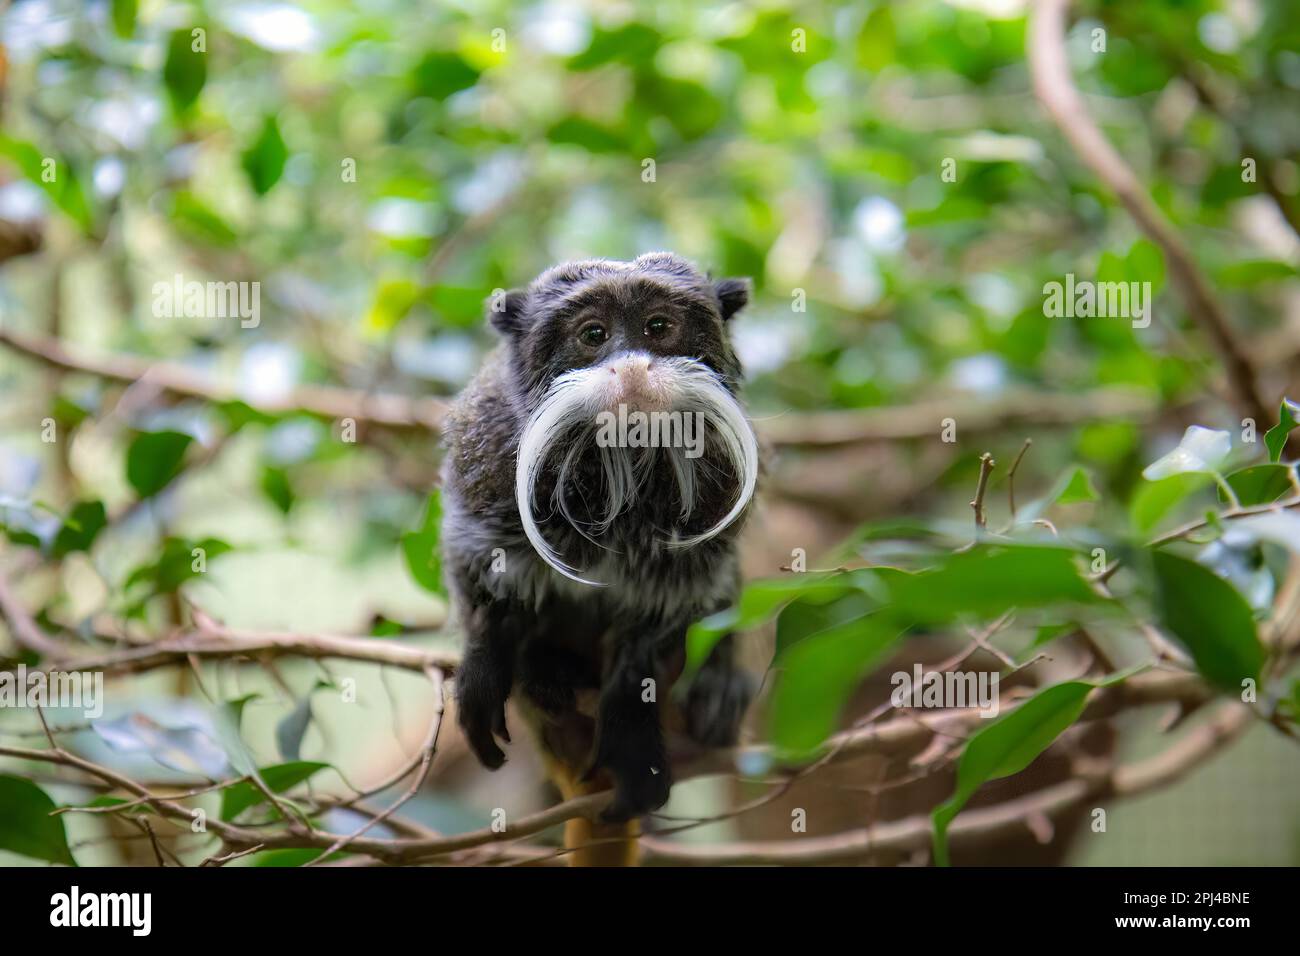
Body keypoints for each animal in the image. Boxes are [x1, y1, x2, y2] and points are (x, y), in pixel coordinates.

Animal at [440, 253, 759, 862]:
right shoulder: (487, 461)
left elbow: (665, 617)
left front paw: (633, 737)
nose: (631, 367)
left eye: (657, 328)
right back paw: (547, 676)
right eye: (593, 335)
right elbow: (486, 570)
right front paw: (486, 664)